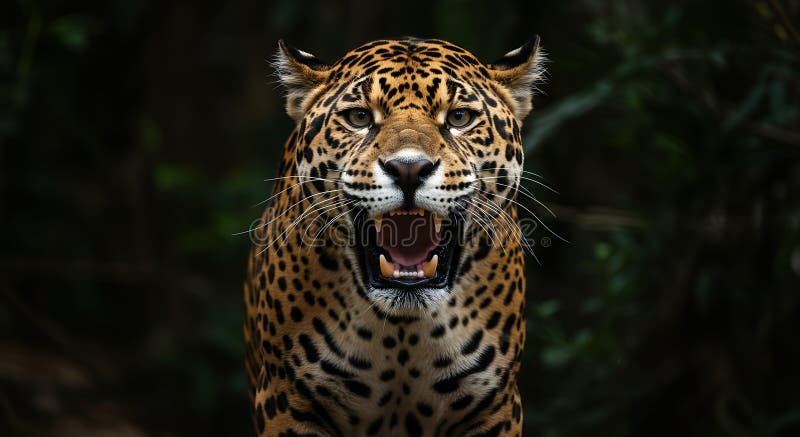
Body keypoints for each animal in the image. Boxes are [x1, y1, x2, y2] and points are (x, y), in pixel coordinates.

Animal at [244, 36, 547, 437]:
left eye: (459, 118)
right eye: (359, 118)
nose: (408, 169)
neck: (402, 334)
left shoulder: (493, 404)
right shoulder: (288, 398)